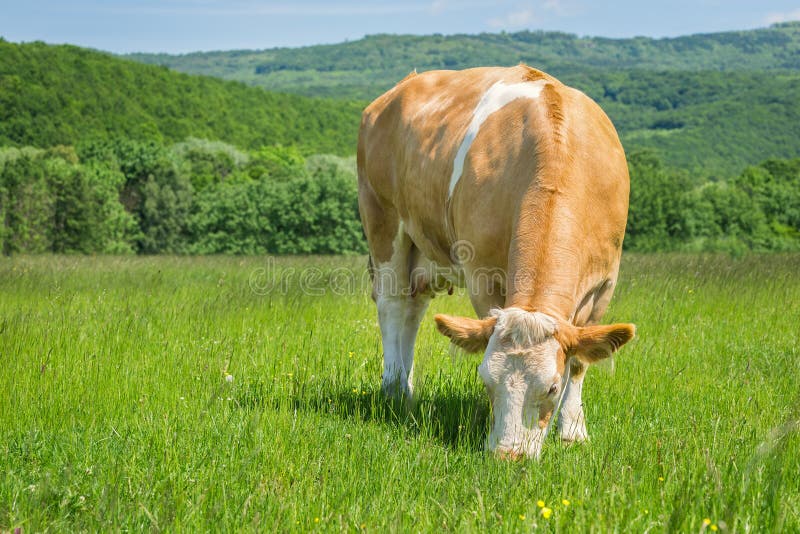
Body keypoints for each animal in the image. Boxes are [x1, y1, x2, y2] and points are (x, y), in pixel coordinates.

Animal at [357, 65, 636, 459]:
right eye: (486, 380)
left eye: (552, 388)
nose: (508, 456)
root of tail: (402, 85)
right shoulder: (482, 275)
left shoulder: (604, 284)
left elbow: (581, 360)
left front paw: (573, 431)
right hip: (383, 221)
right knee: (392, 307)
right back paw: (395, 389)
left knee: (413, 309)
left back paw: (407, 387)